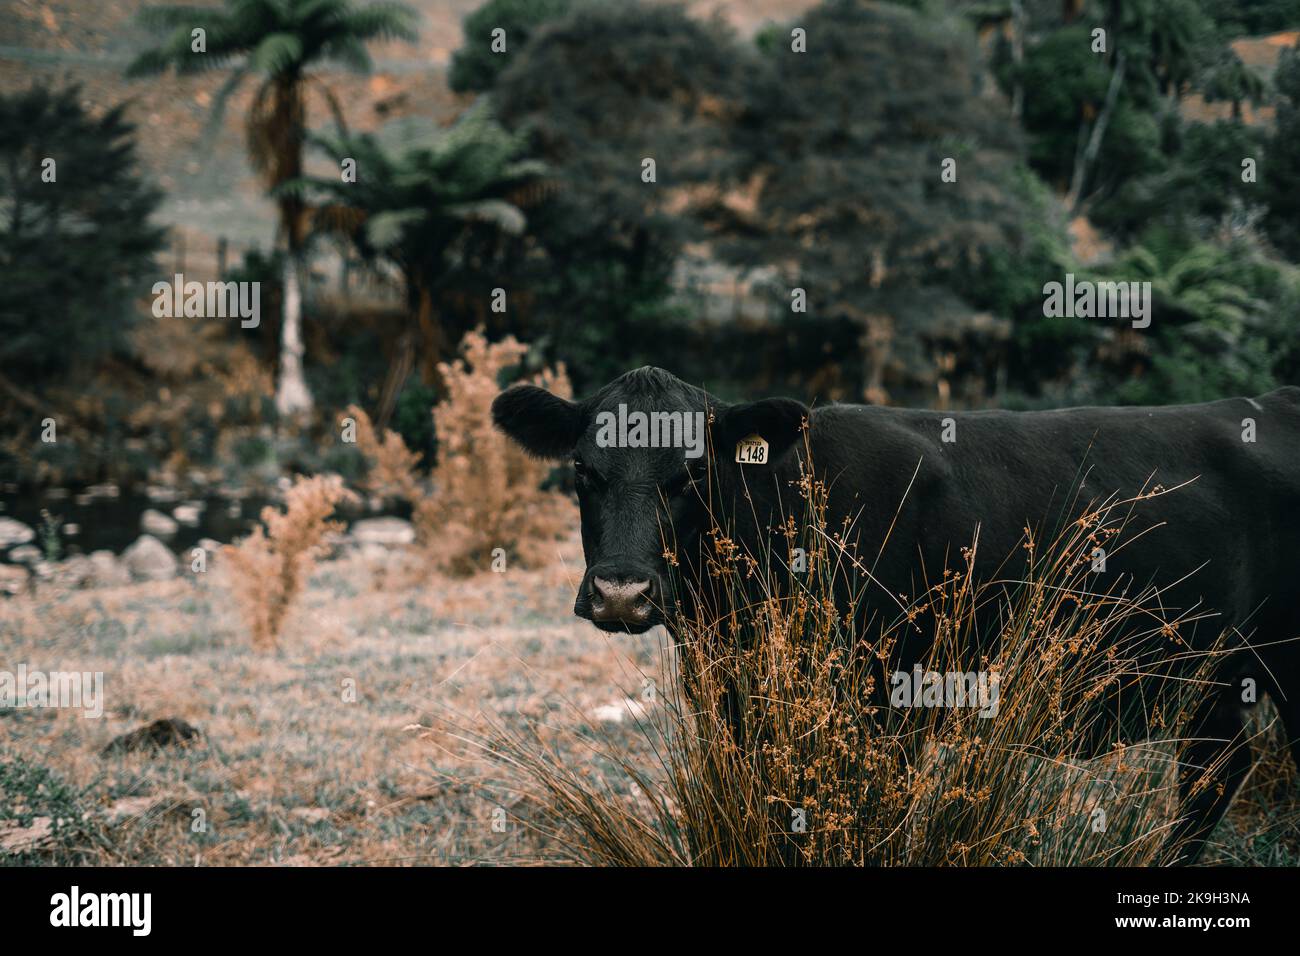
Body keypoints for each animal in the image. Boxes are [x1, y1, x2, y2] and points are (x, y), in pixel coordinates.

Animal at [492, 366, 1300, 863]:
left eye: (693, 472)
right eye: (582, 469)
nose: (622, 592)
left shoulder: (892, 702)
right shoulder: (733, 702)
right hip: (1216, 679)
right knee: (1214, 771)